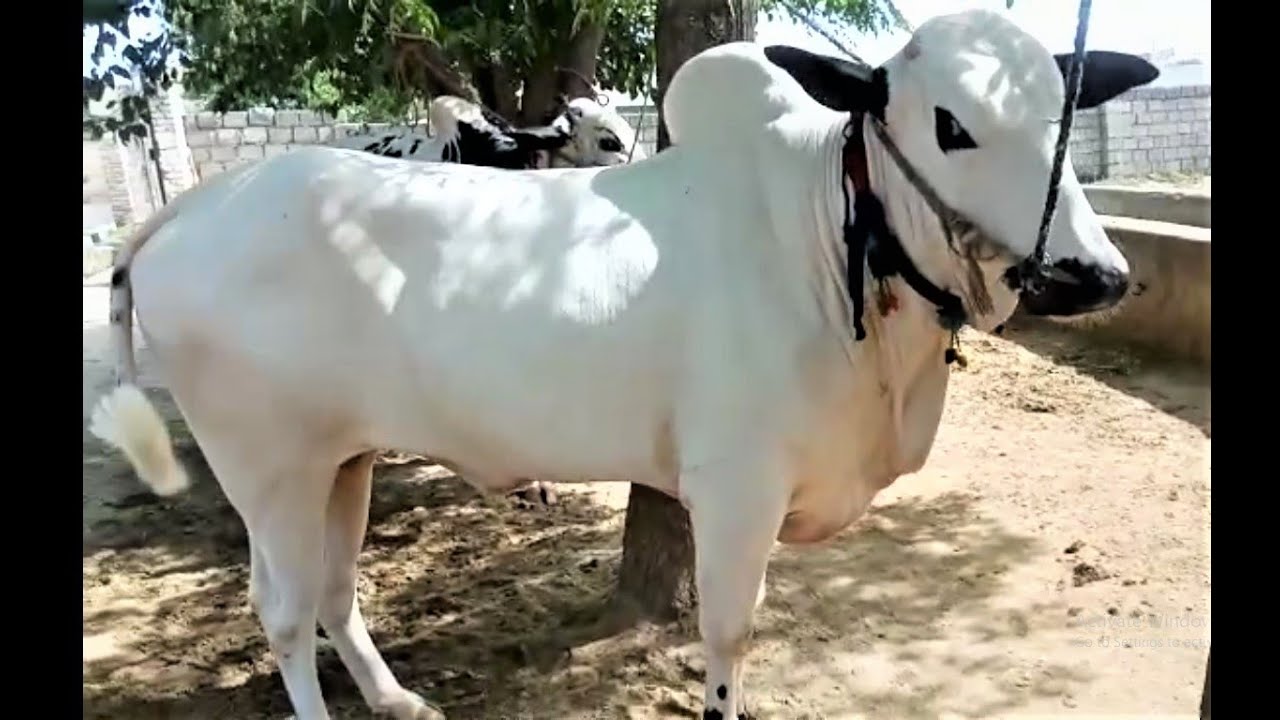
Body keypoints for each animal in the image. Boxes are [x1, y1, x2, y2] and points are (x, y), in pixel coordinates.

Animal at [87, 9, 1157, 719]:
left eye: (1067, 109)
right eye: (951, 124)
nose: (1090, 274)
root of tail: (187, 211)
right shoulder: (735, 490)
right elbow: (727, 636)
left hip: (344, 458)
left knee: (334, 591)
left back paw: (397, 699)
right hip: (268, 466)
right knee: (280, 610)